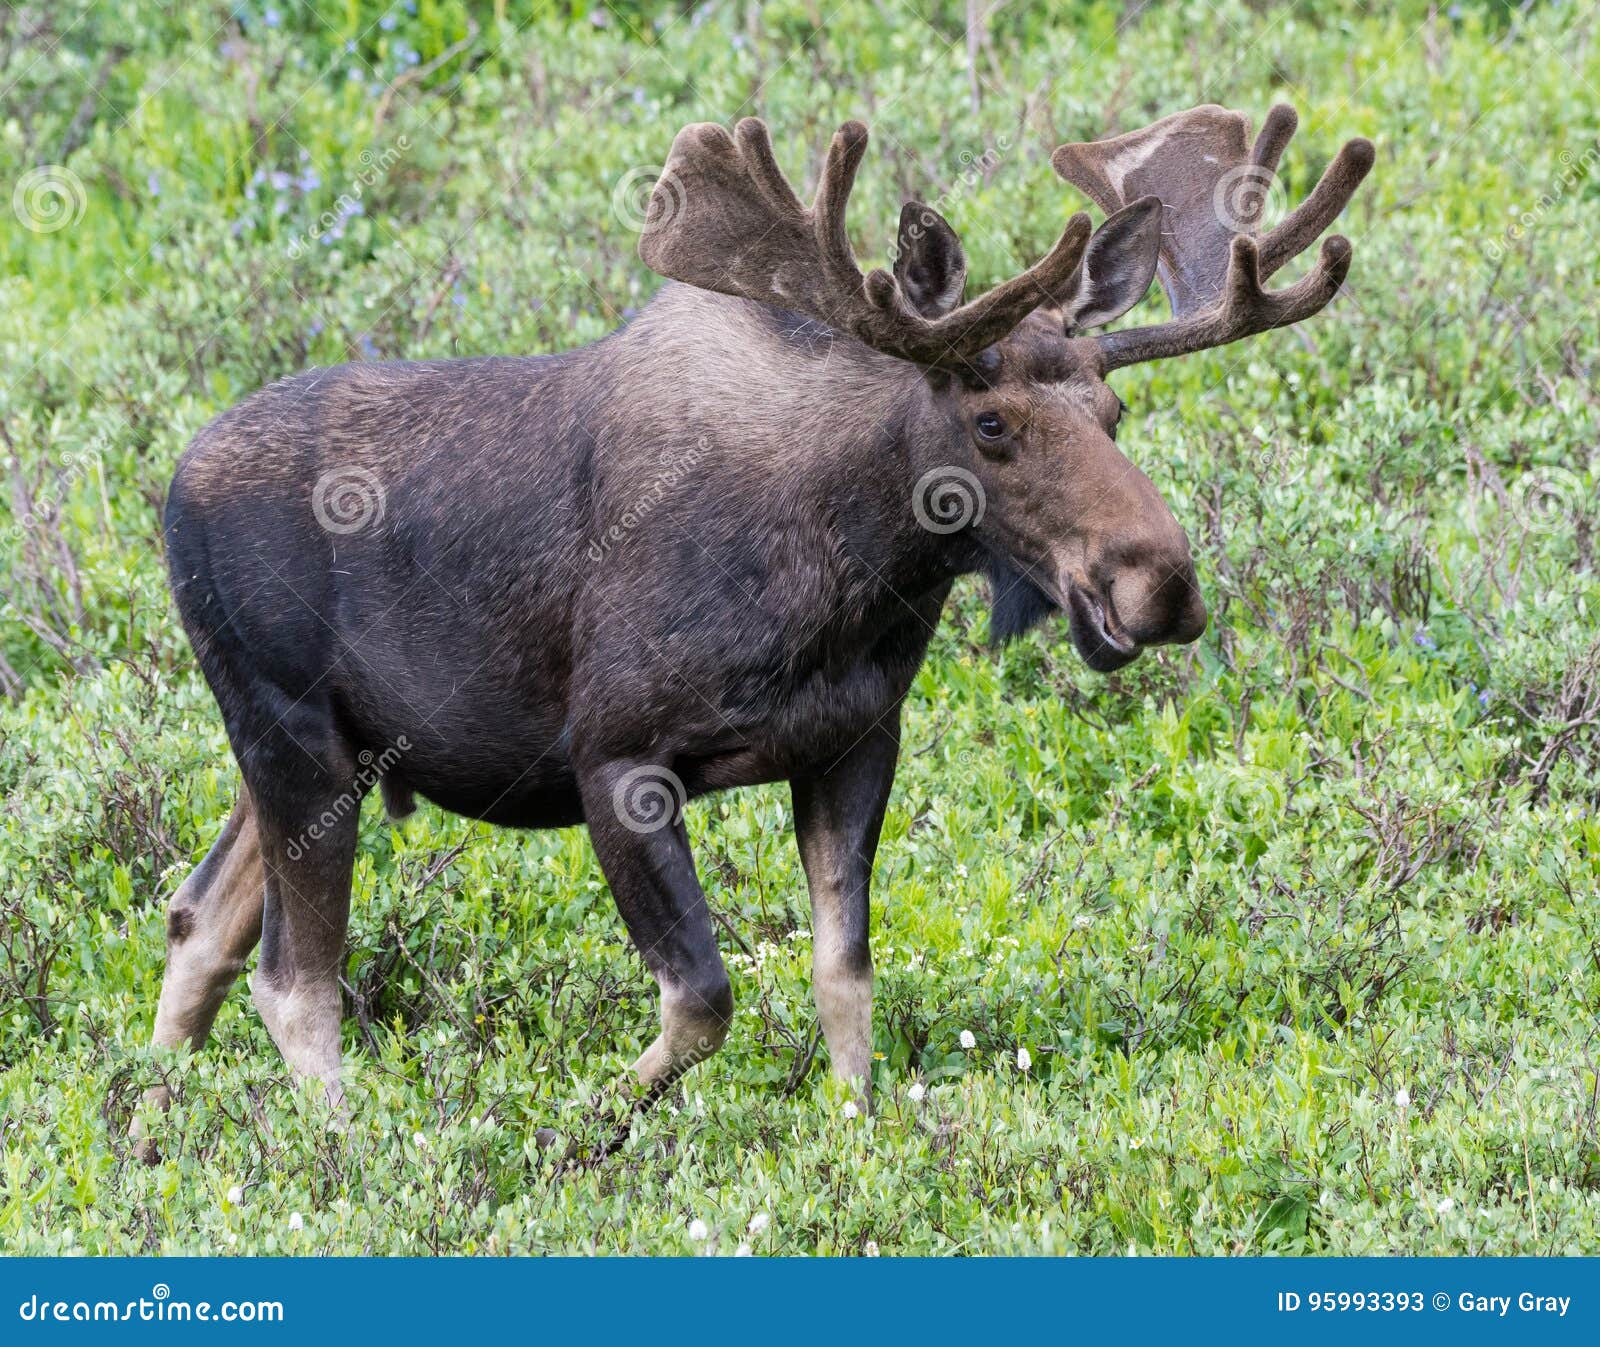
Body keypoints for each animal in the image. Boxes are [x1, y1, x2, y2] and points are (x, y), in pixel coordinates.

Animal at [137, 103, 1372, 1160]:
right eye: (990, 423)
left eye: (1114, 410)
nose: (1161, 584)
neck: (853, 575)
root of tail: (172, 487)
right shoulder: (615, 755)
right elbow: (703, 995)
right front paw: (577, 1127)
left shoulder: (851, 743)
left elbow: (844, 970)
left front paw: (856, 1141)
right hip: (290, 732)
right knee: (293, 977)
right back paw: (350, 1153)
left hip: (316, 751)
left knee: (199, 918)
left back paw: (150, 1115)